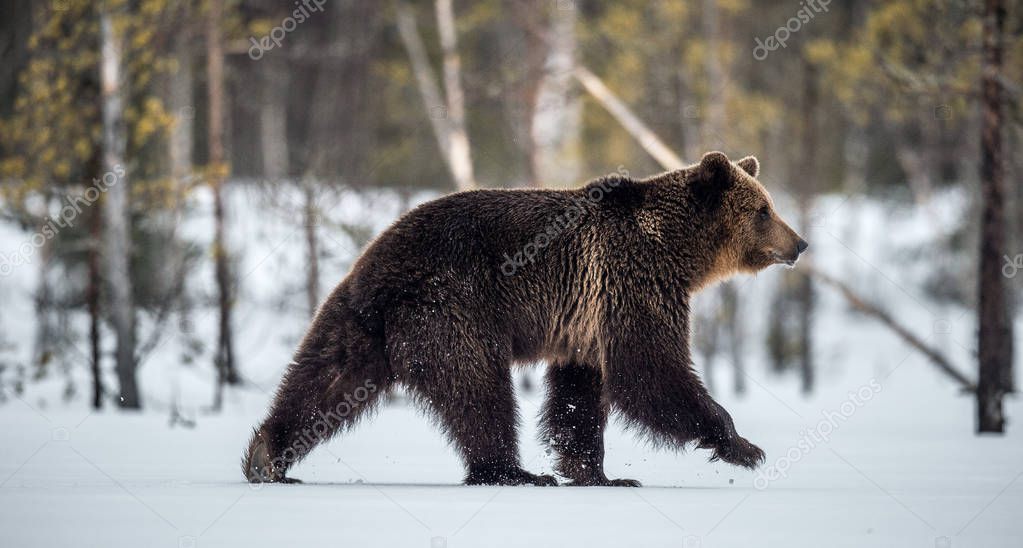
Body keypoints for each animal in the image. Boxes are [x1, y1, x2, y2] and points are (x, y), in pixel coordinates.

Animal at [242, 151, 807, 486]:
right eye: (763, 210)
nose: (799, 243)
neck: (679, 253)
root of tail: (377, 269)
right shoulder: (633, 280)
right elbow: (648, 370)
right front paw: (742, 444)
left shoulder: (587, 318)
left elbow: (580, 397)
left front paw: (599, 473)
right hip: (453, 308)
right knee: (480, 391)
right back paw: (511, 471)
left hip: (358, 321)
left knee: (324, 380)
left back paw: (267, 457)